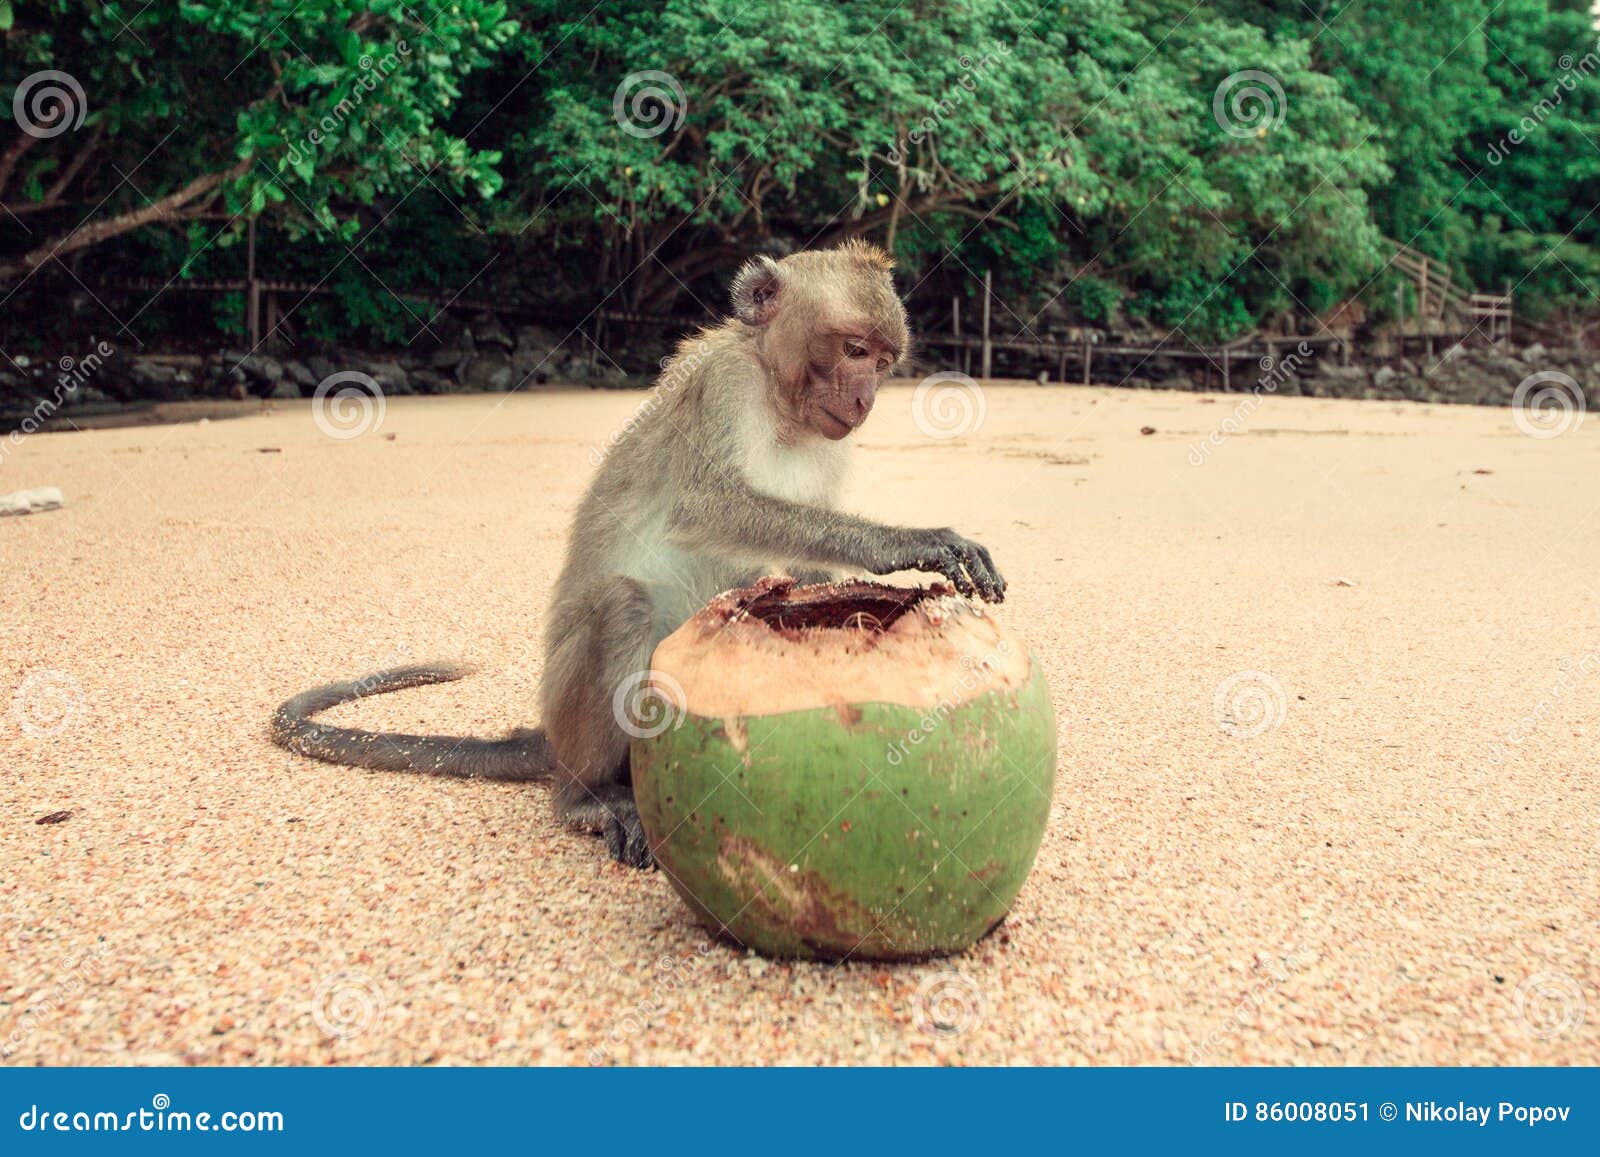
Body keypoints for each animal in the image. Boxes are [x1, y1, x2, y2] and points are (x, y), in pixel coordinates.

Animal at [271, 240, 1005, 868]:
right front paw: (908, 543)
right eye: (854, 348)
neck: (780, 399)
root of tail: (550, 735)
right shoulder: (725, 386)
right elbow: (707, 508)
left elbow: (798, 568)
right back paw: (587, 798)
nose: (865, 398)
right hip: (570, 701)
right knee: (623, 603)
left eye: (883, 362)